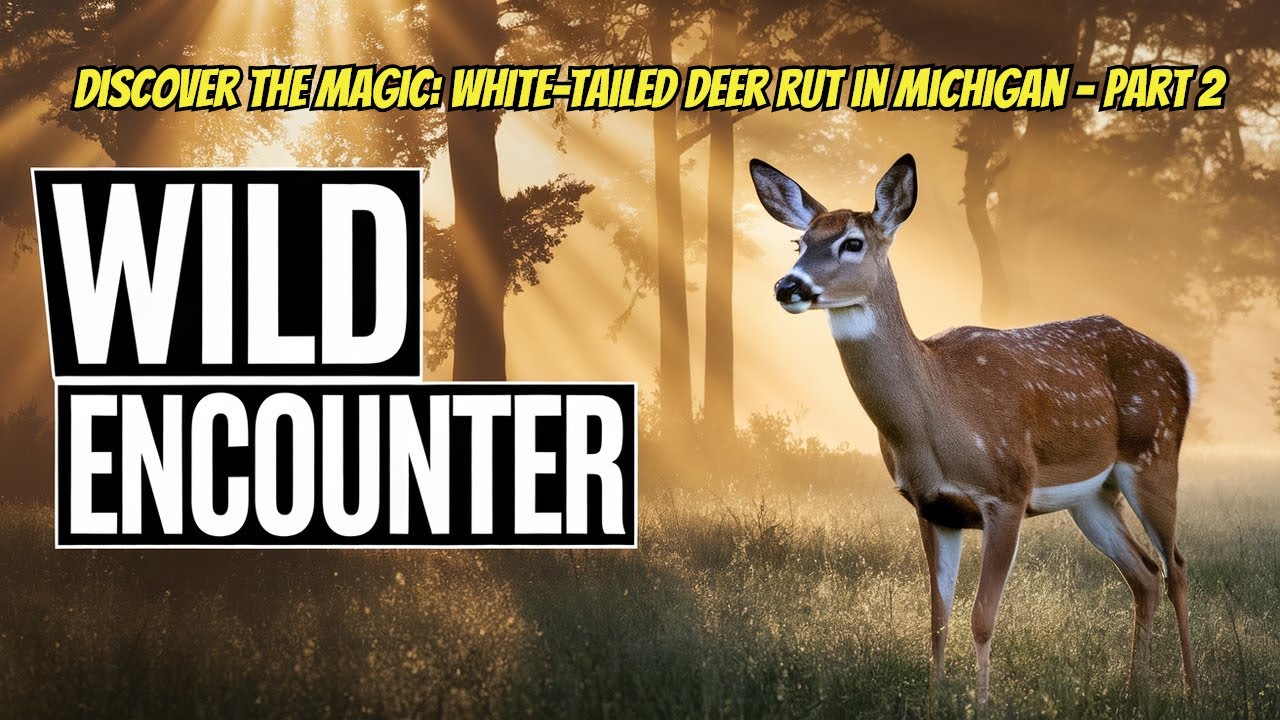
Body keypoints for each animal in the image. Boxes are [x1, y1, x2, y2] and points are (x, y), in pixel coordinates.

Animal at [750, 154, 1195, 708]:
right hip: (1092, 496)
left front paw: (981, 706)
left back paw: (1193, 688)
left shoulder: (1007, 491)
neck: (935, 417)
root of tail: (1181, 368)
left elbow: (982, 618)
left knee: (1176, 567)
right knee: (1145, 574)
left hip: (1155, 456)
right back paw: (1137, 690)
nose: (787, 286)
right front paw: (932, 703)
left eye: (852, 242)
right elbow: (937, 620)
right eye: (800, 242)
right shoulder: (931, 506)